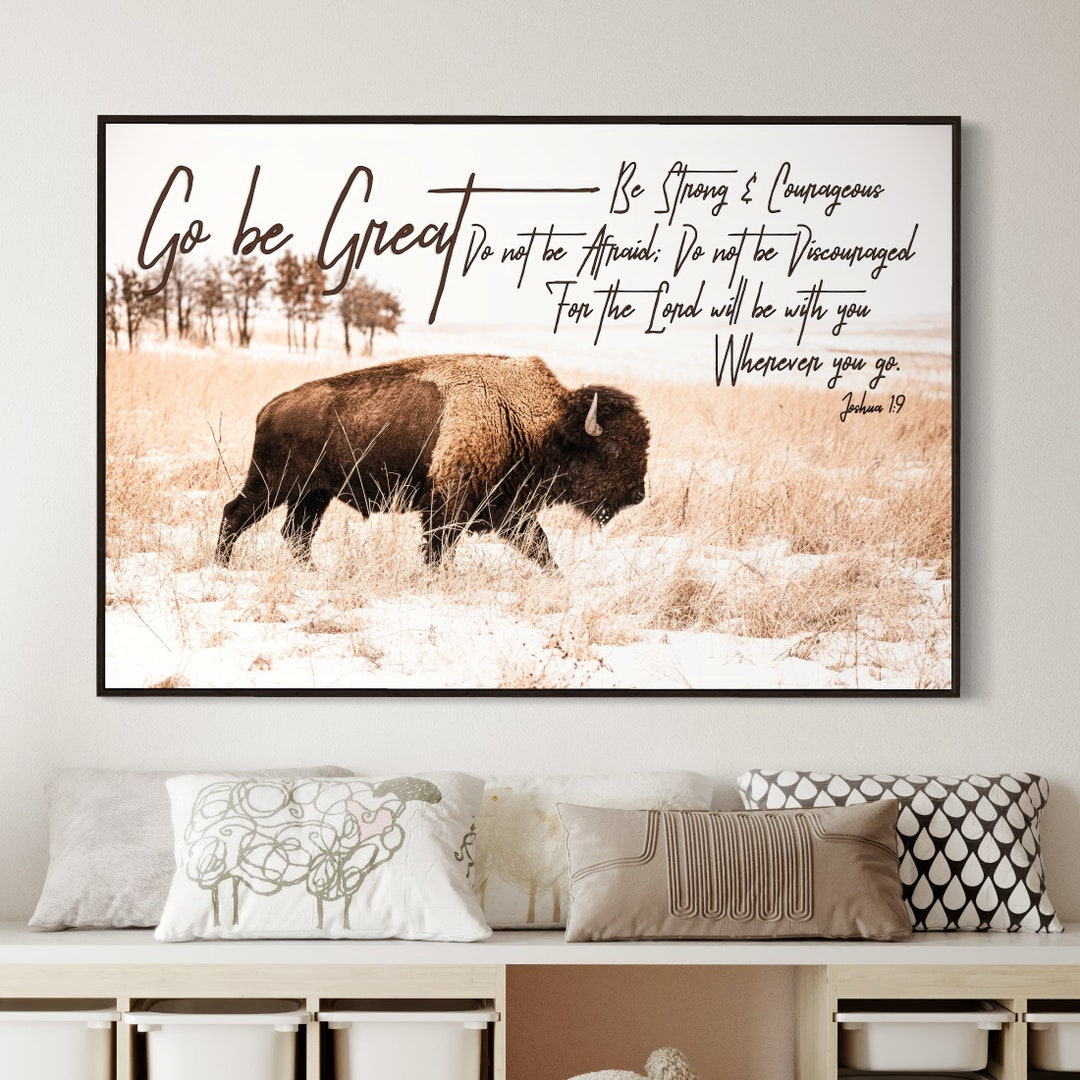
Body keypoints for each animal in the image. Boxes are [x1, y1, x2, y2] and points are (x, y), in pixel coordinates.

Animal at [214, 353, 650, 570]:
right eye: (612, 449)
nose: (638, 494)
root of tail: (270, 407)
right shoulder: (447, 506)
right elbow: (439, 549)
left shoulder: (511, 510)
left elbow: (539, 546)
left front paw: (556, 579)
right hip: (274, 484)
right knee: (236, 513)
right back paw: (222, 566)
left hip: (313, 495)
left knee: (297, 533)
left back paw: (311, 572)